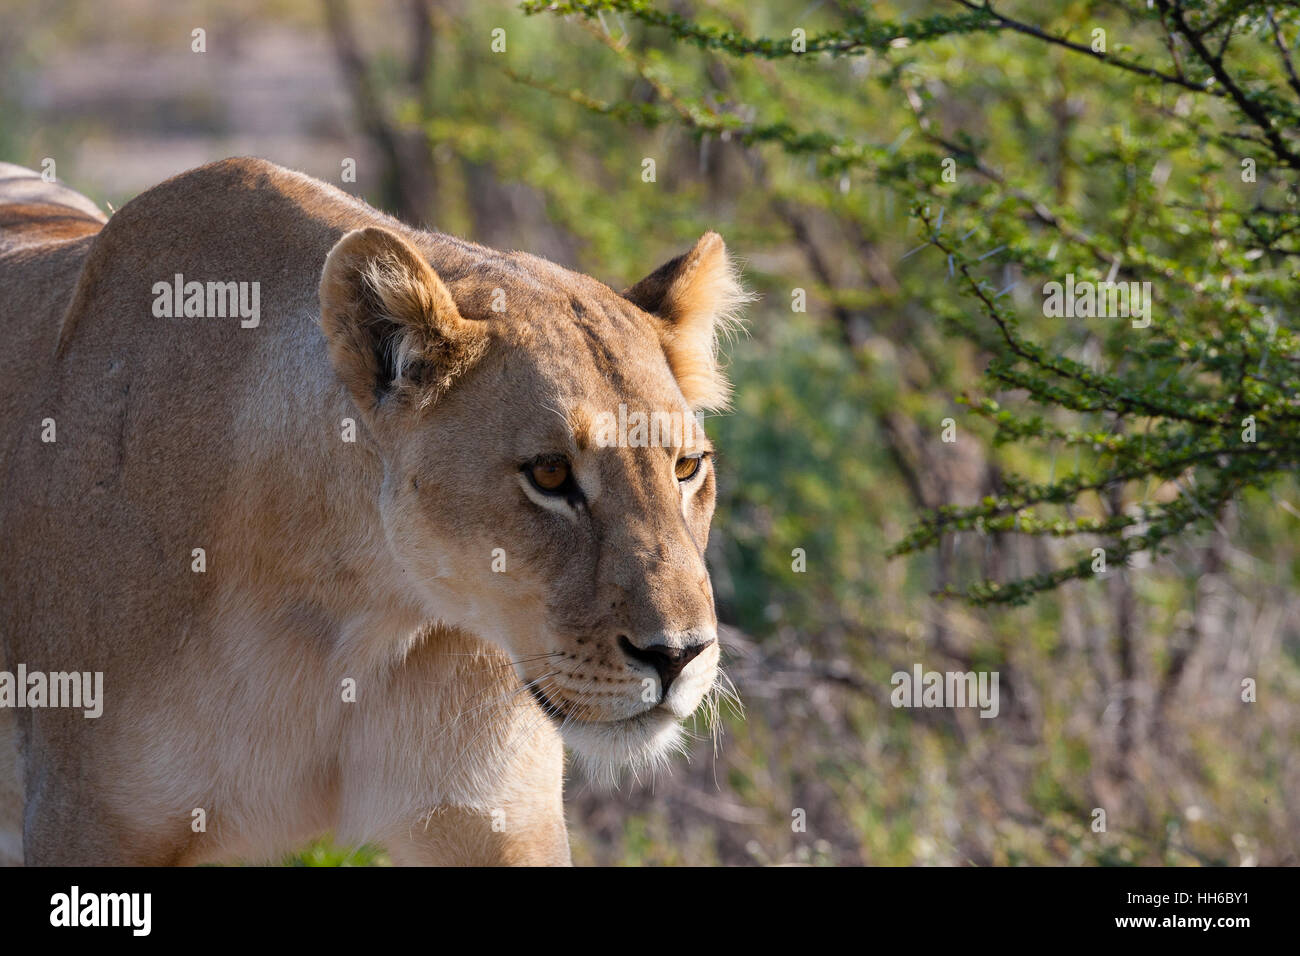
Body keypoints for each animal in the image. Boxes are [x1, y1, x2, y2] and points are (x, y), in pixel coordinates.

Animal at [0, 157, 744, 865]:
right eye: (550, 474)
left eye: (687, 467)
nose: (678, 656)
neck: (361, 611)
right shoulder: (86, 818)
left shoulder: (497, 821)